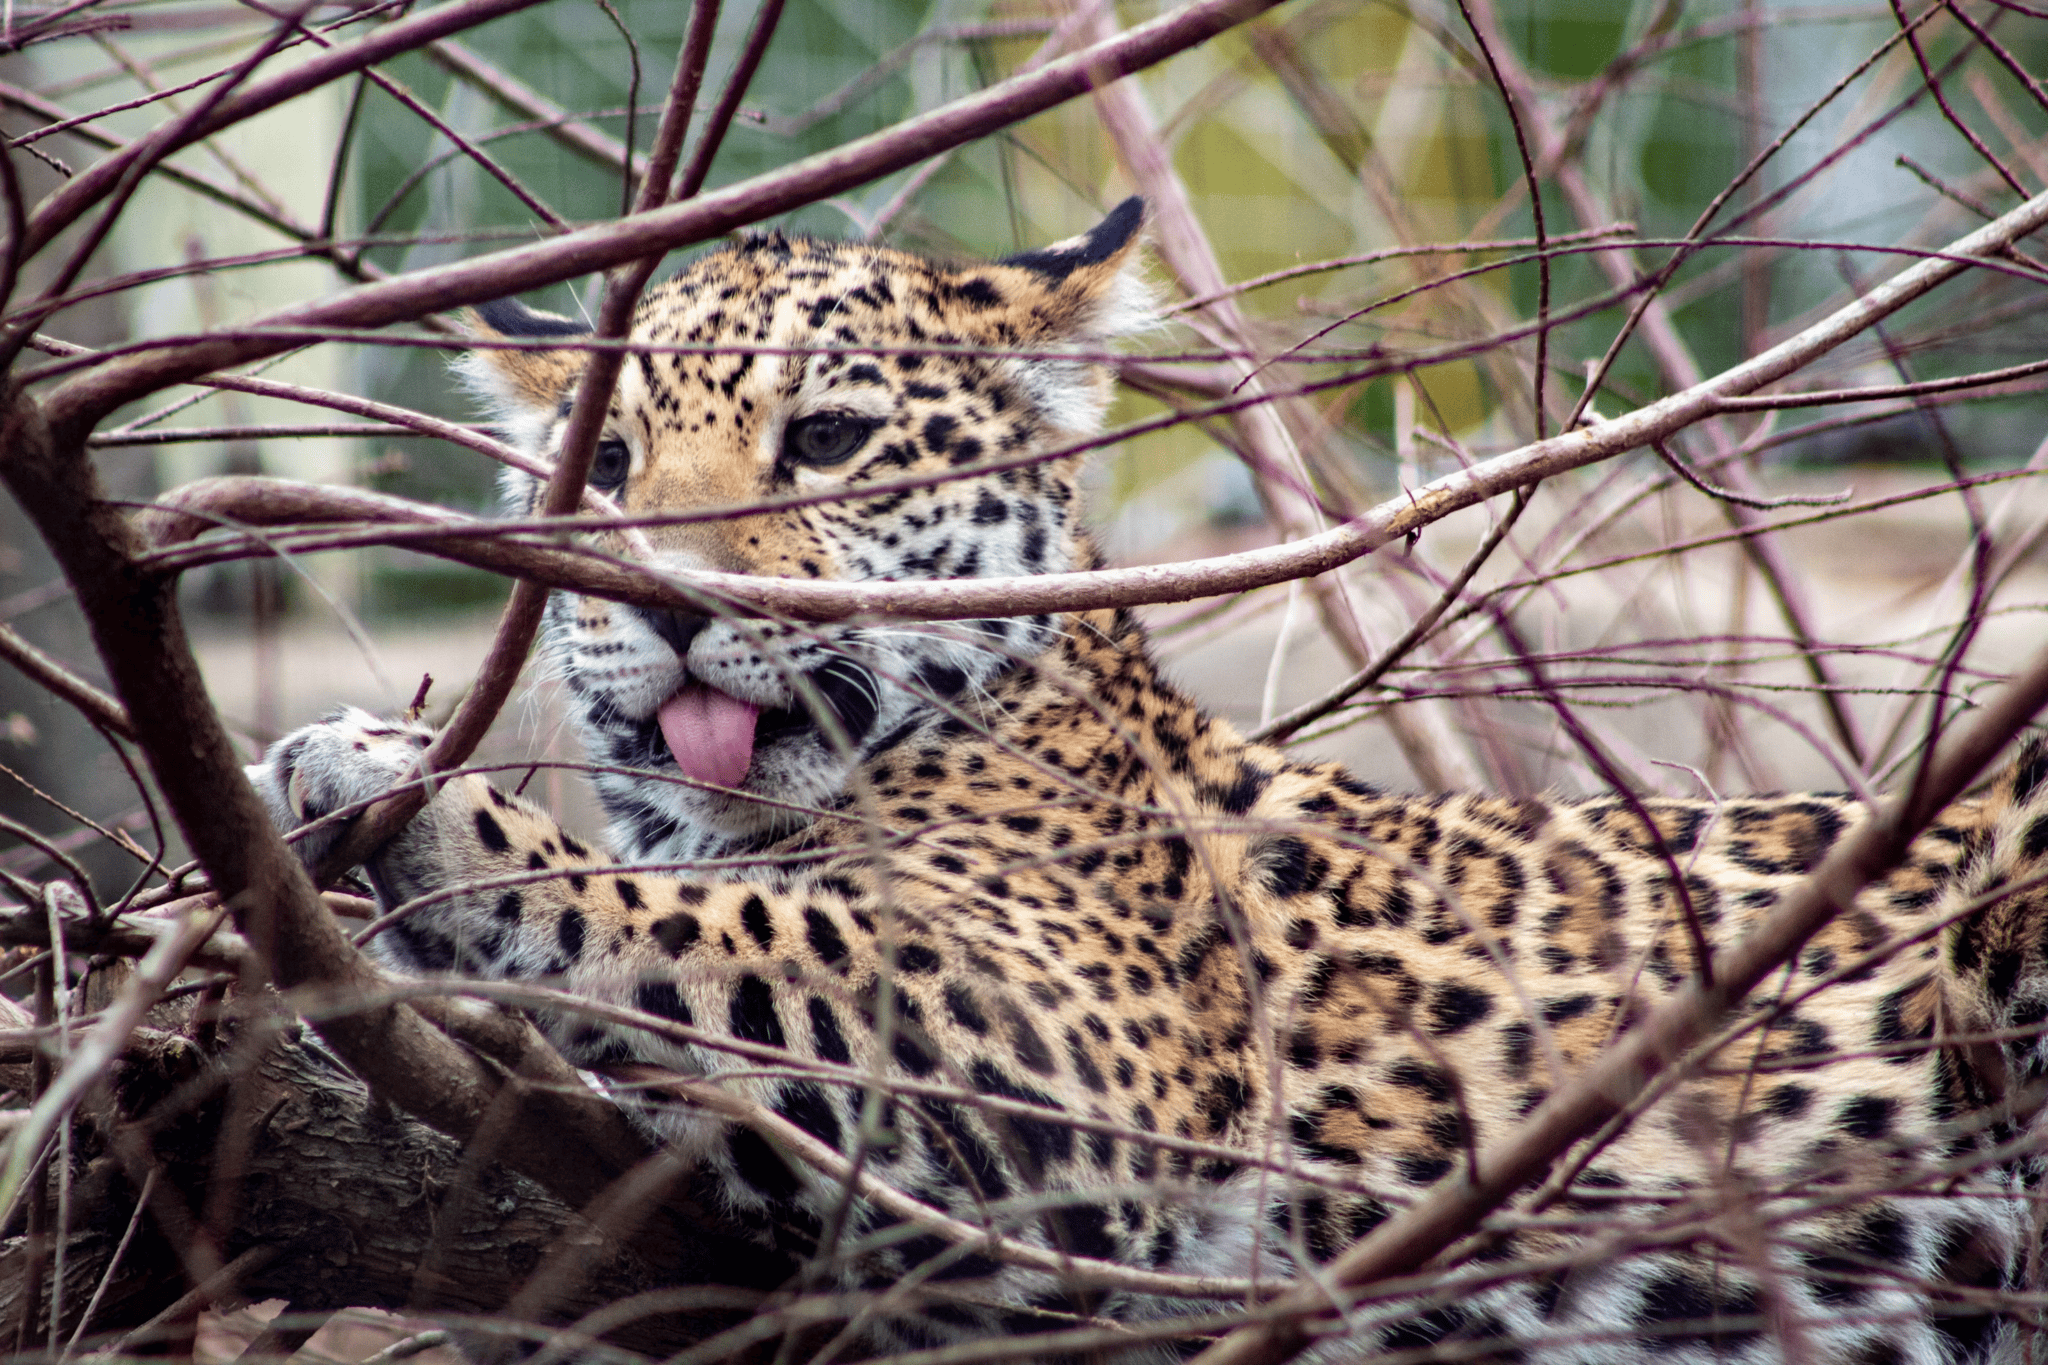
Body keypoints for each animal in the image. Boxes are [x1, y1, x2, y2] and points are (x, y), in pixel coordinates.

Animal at [248, 198, 2048, 1362]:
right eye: (607, 467)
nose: (664, 603)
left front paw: (397, 785)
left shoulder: (1082, 1048)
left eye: (824, 441)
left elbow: (721, 926)